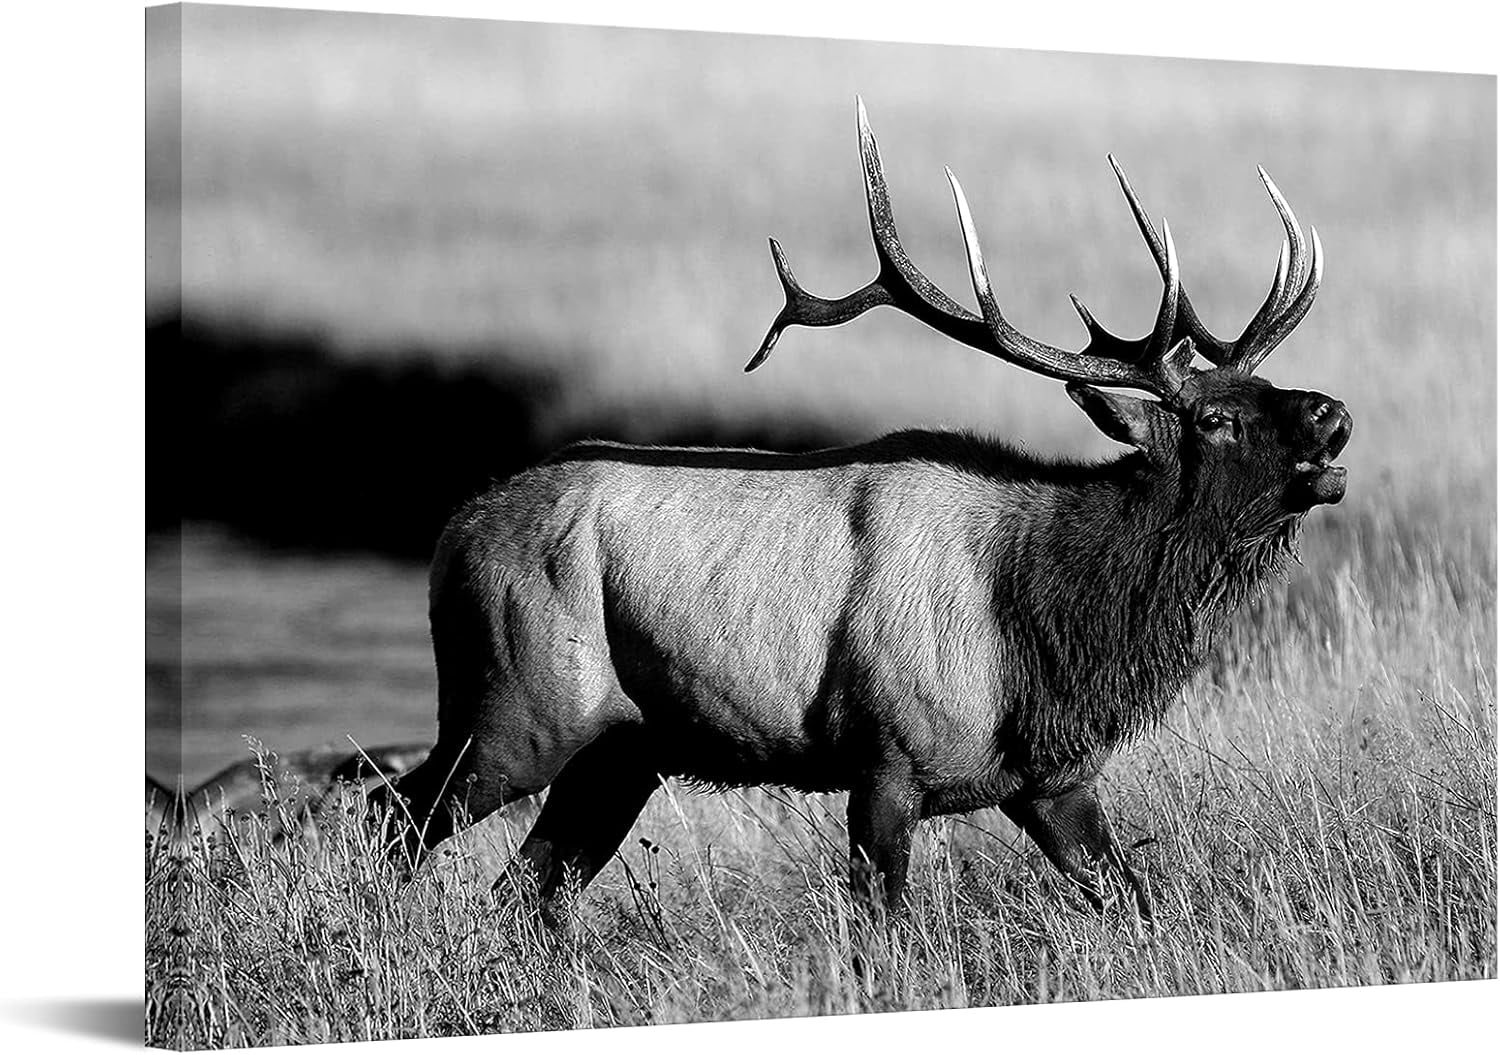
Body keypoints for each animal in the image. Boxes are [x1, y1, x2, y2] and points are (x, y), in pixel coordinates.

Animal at [377, 99, 1351, 919]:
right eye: (1215, 418)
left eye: (1265, 386)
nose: (1333, 412)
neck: (1043, 635)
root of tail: (452, 533)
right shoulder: (886, 762)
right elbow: (885, 927)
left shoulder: (1053, 779)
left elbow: (1136, 897)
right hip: (515, 705)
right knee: (392, 814)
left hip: (619, 752)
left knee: (526, 889)